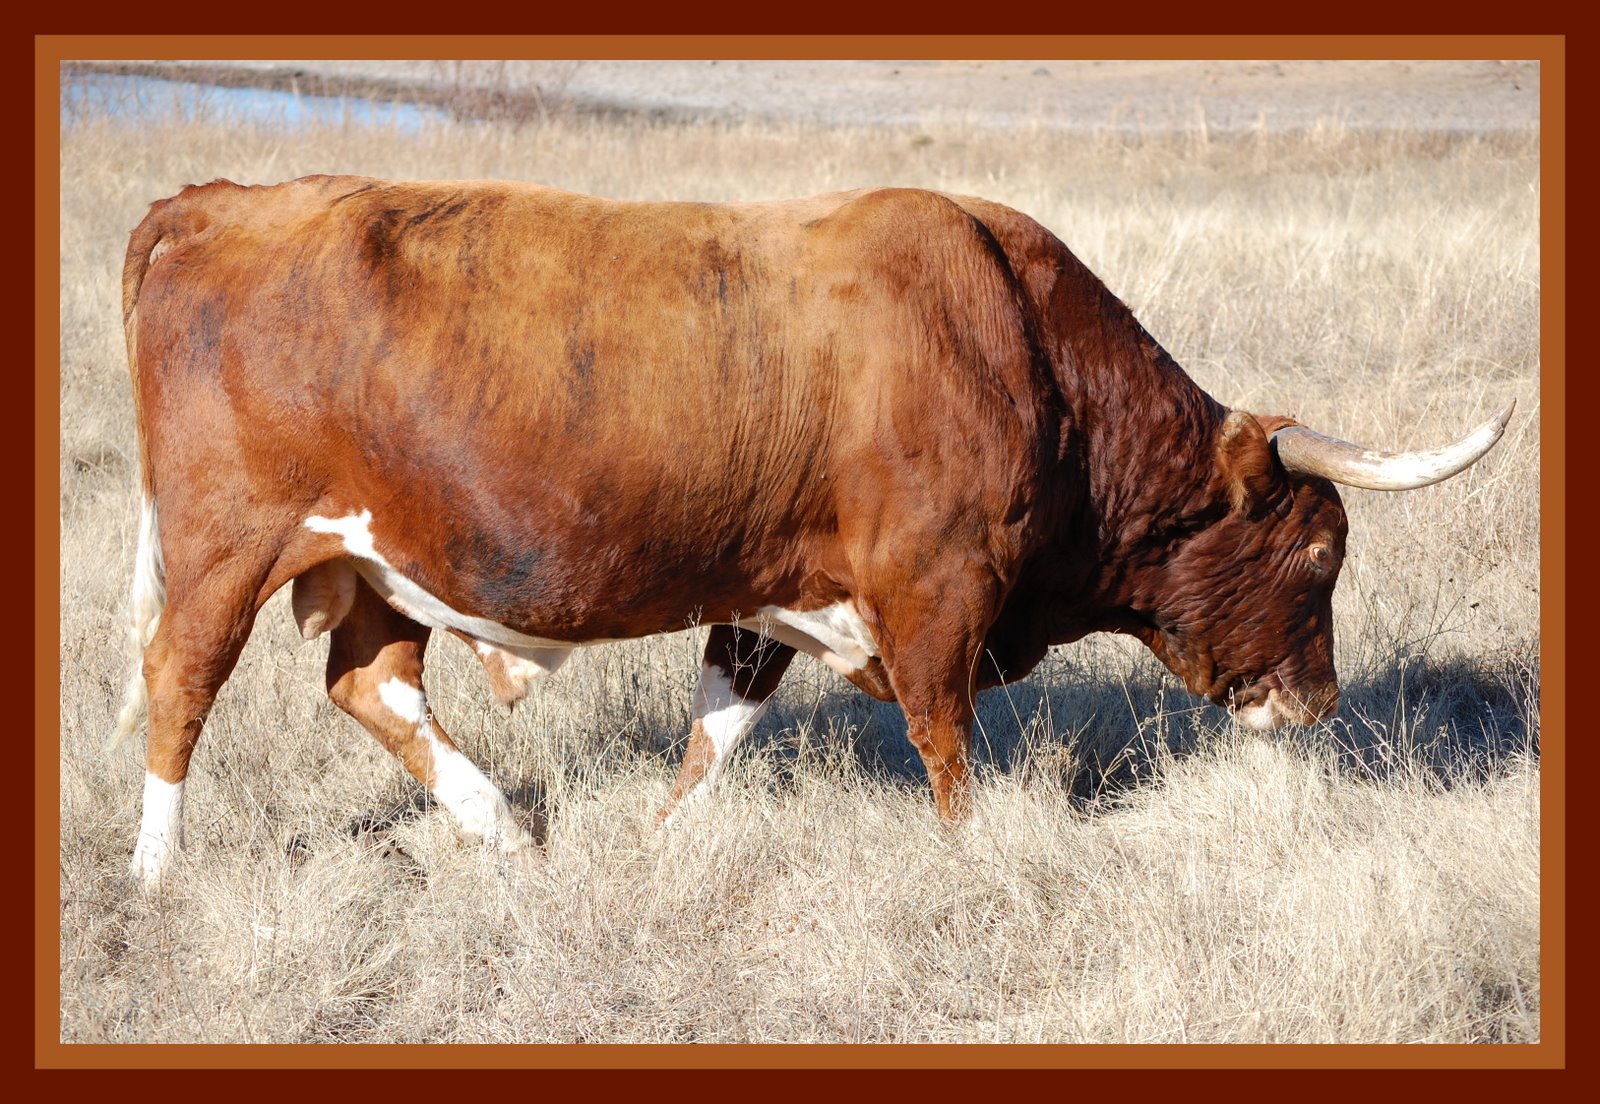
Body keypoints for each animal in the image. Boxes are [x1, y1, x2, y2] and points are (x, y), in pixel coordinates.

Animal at [111, 176, 1512, 887]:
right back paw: (155, 871)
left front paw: (662, 848)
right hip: (227, 545)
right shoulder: (935, 591)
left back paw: (500, 828)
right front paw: (966, 858)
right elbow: (944, 739)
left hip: (374, 561)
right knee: (182, 683)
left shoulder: (771, 588)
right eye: (1321, 553)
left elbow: (715, 733)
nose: (1319, 703)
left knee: (374, 684)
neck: (1024, 351)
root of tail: (220, 198)